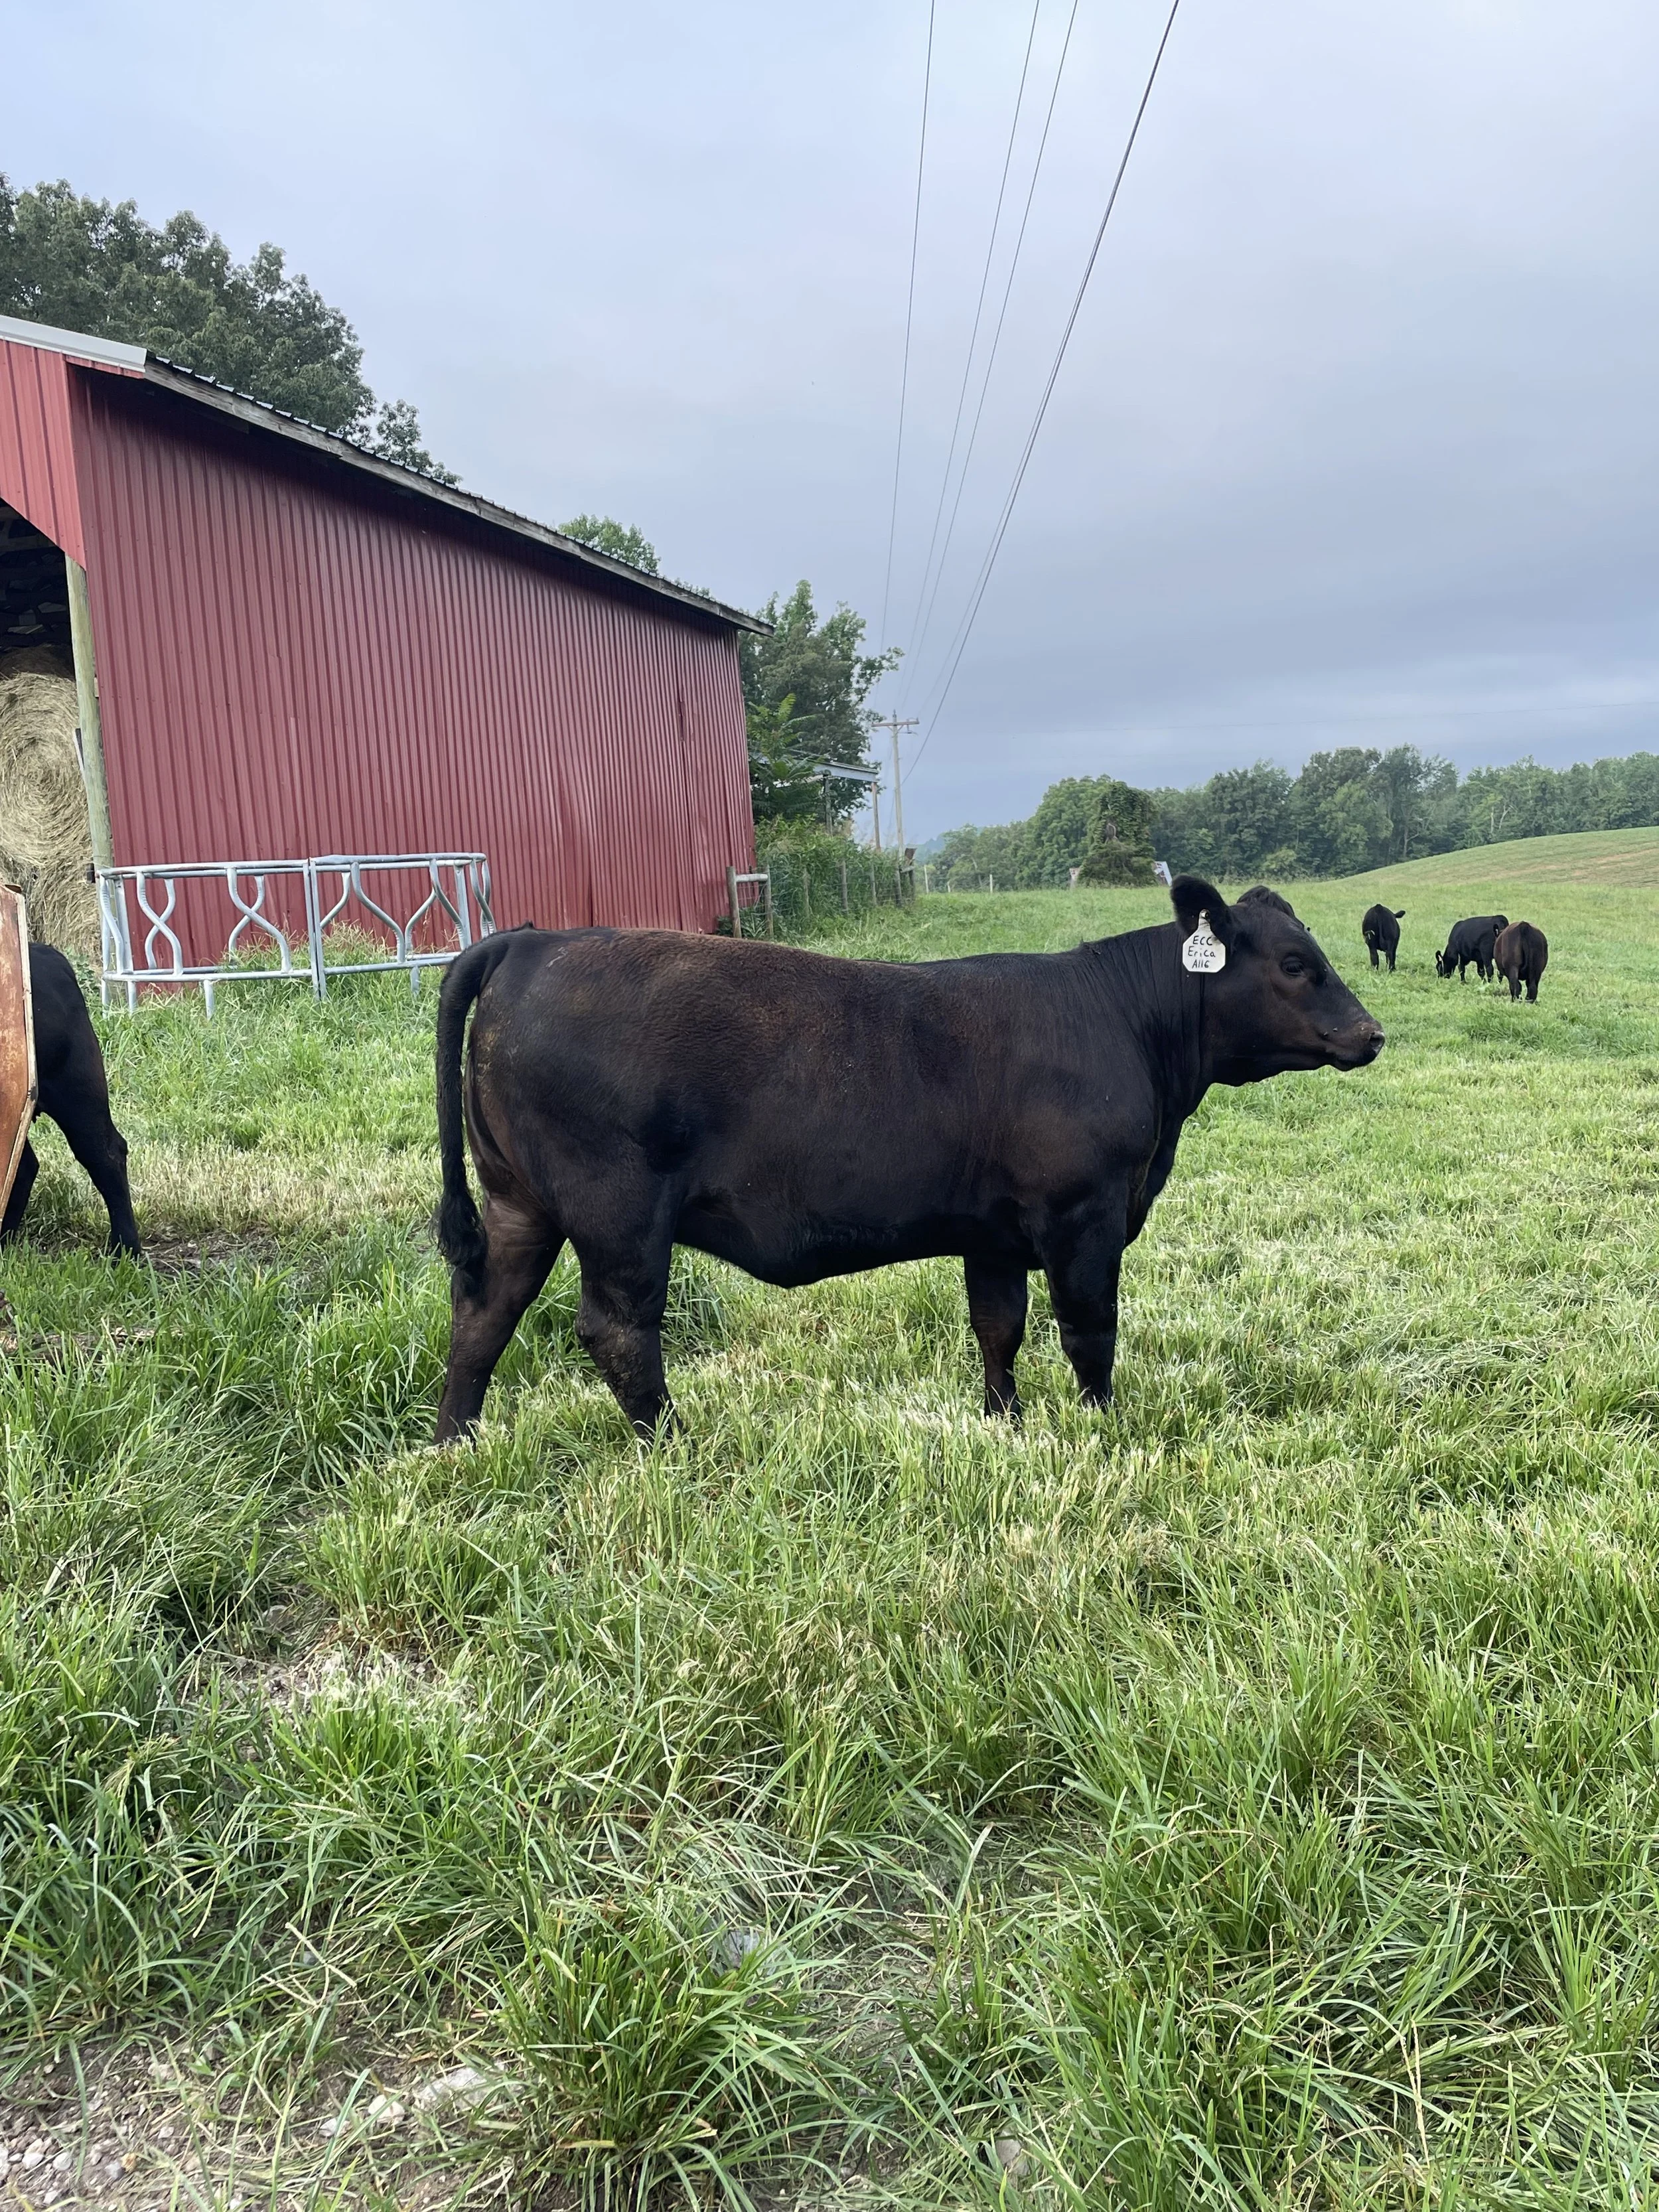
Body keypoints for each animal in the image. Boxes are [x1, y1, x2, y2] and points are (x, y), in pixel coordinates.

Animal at [431, 876, 1383, 1440]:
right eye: (1296, 963)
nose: (1371, 1033)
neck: (1124, 1020)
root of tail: (535, 940)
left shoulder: (993, 1233)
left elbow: (999, 1328)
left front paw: (1003, 1424)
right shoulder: (1085, 1216)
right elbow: (1090, 1332)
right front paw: (1102, 1432)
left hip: (519, 1203)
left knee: (484, 1314)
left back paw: (454, 1445)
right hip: (618, 1214)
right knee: (617, 1331)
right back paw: (673, 1448)